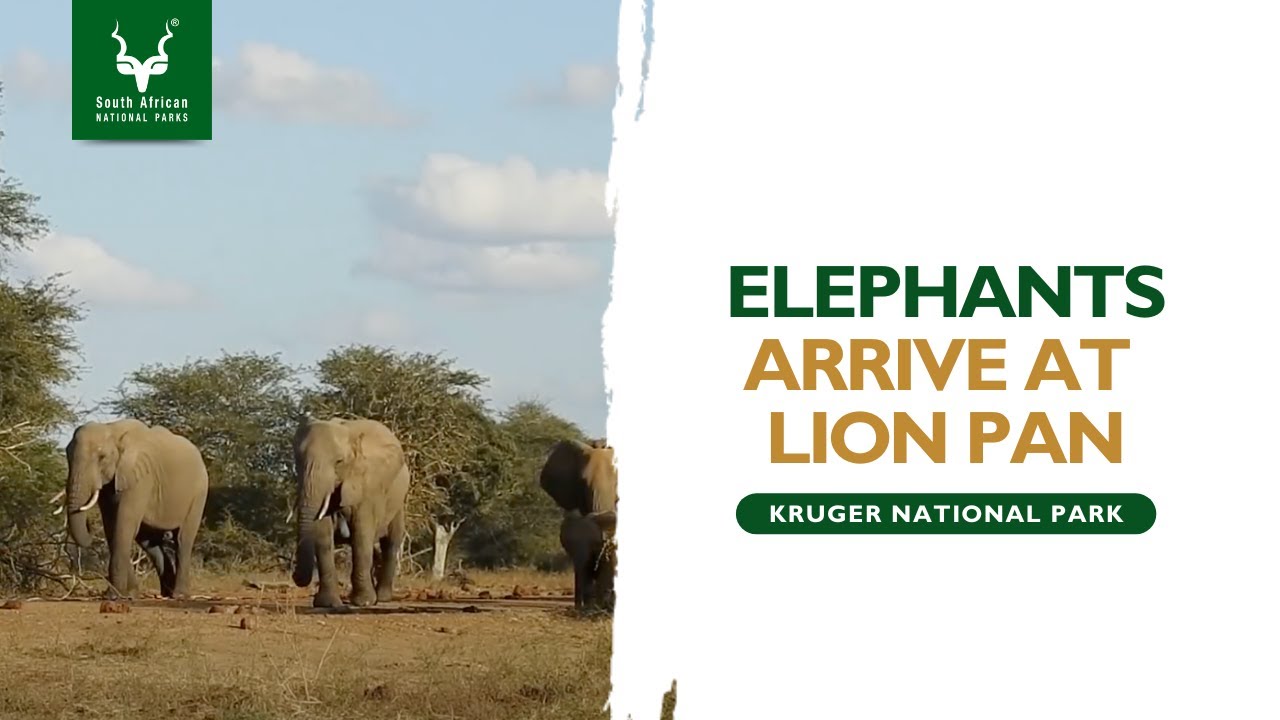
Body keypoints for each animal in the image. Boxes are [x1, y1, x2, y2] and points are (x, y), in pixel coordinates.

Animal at [58, 418, 209, 600]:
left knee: (182, 540)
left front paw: (114, 595)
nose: (90, 525)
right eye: (67, 455)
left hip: (198, 494)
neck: (112, 430)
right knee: (150, 543)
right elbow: (112, 528)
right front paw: (129, 594)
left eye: (102, 457)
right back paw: (166, 593)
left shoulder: (140, 478)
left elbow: (123, 526)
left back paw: (179, 595)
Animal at [290, 417, 410, 608]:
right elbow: (323, 534)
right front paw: (327, 604)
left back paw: (382, 598)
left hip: (398, 502)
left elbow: (362, 533)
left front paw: (364, 602)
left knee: (390, 542)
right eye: (298, 460)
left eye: (339, 462)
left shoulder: (368, 486)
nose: (295, 575)